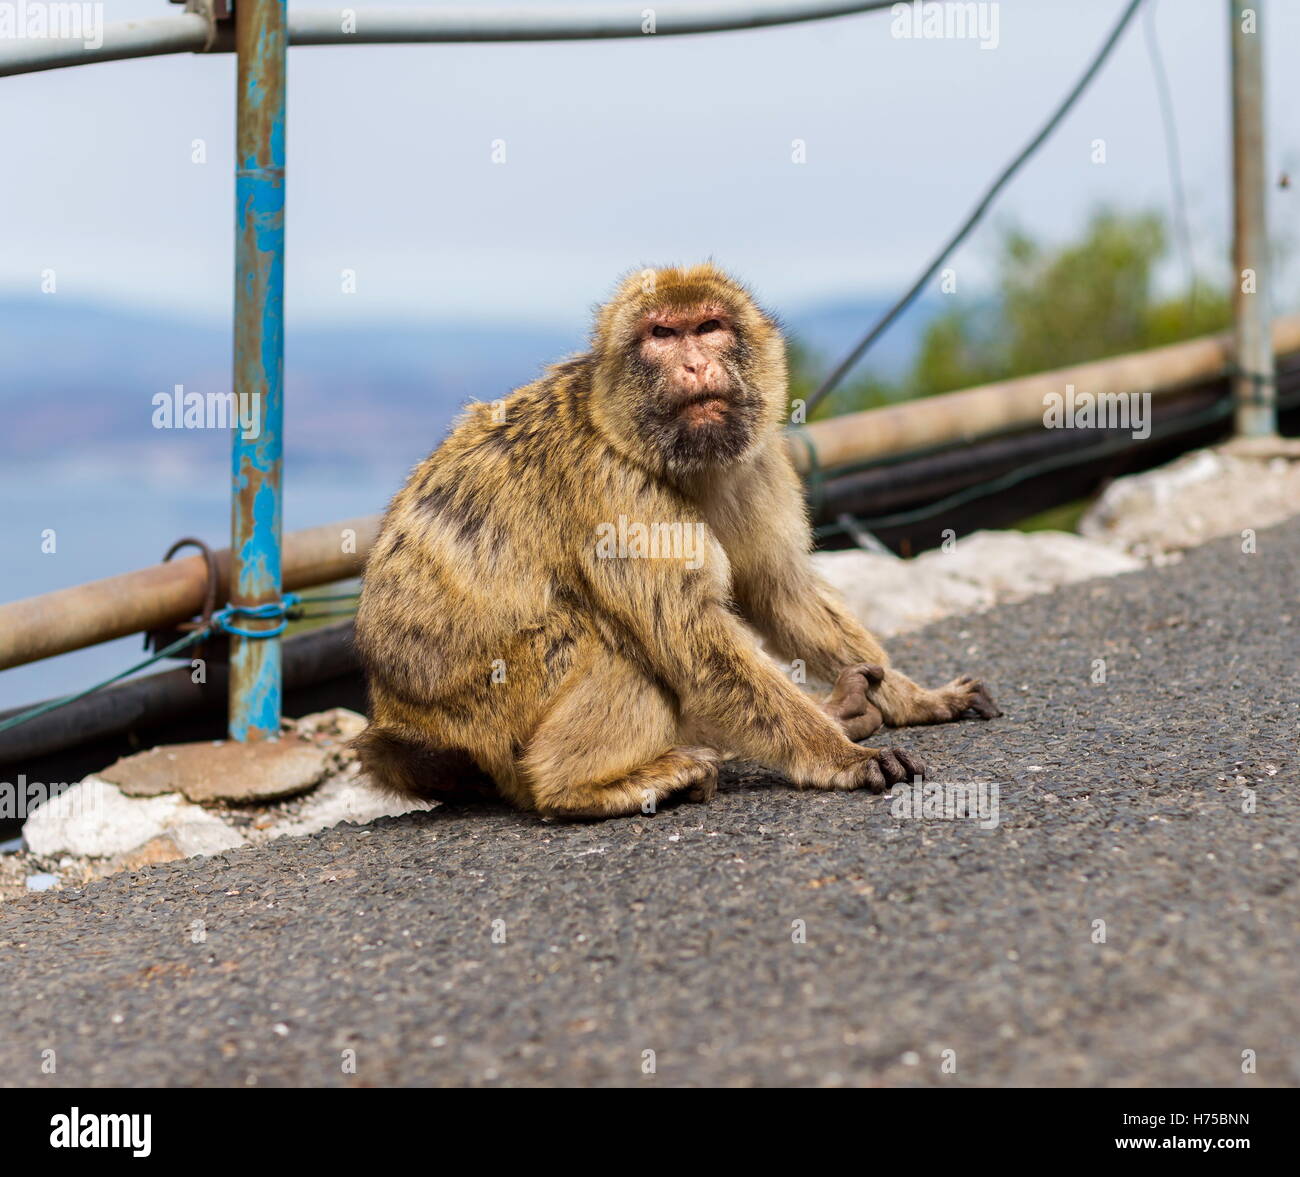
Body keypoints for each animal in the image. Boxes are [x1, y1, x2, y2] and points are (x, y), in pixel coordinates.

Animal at [352, 263, 1000, 819]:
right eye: (662, 334)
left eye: (708, 327)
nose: (693, 366)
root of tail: (398, 724)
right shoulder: (617, 488)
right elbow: (694, 639)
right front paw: (842, 757)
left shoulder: (758, 462)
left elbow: (779, 591)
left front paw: (916, 699)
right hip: (488, 707)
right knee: (612, 645)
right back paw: (582, 788)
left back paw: (836, 709)